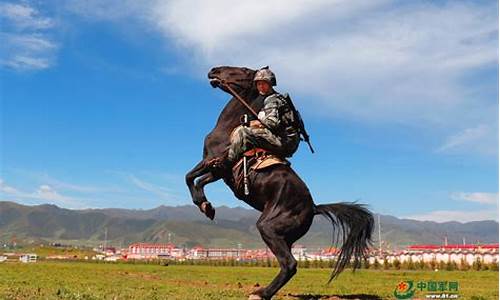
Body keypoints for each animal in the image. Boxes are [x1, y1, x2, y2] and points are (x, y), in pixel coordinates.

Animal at [186, 66, 374, 300]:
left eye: (243, 71)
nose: (214, 70)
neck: (228, 129)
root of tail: (313, 208)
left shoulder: (214, 164)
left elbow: (189, 177)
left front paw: (204, 205)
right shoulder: (218, 171)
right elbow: (196, 180)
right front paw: (206, 206)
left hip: (268, 228)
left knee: (289, 264)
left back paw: (261, 293)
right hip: (285, 238)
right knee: (287, 264)